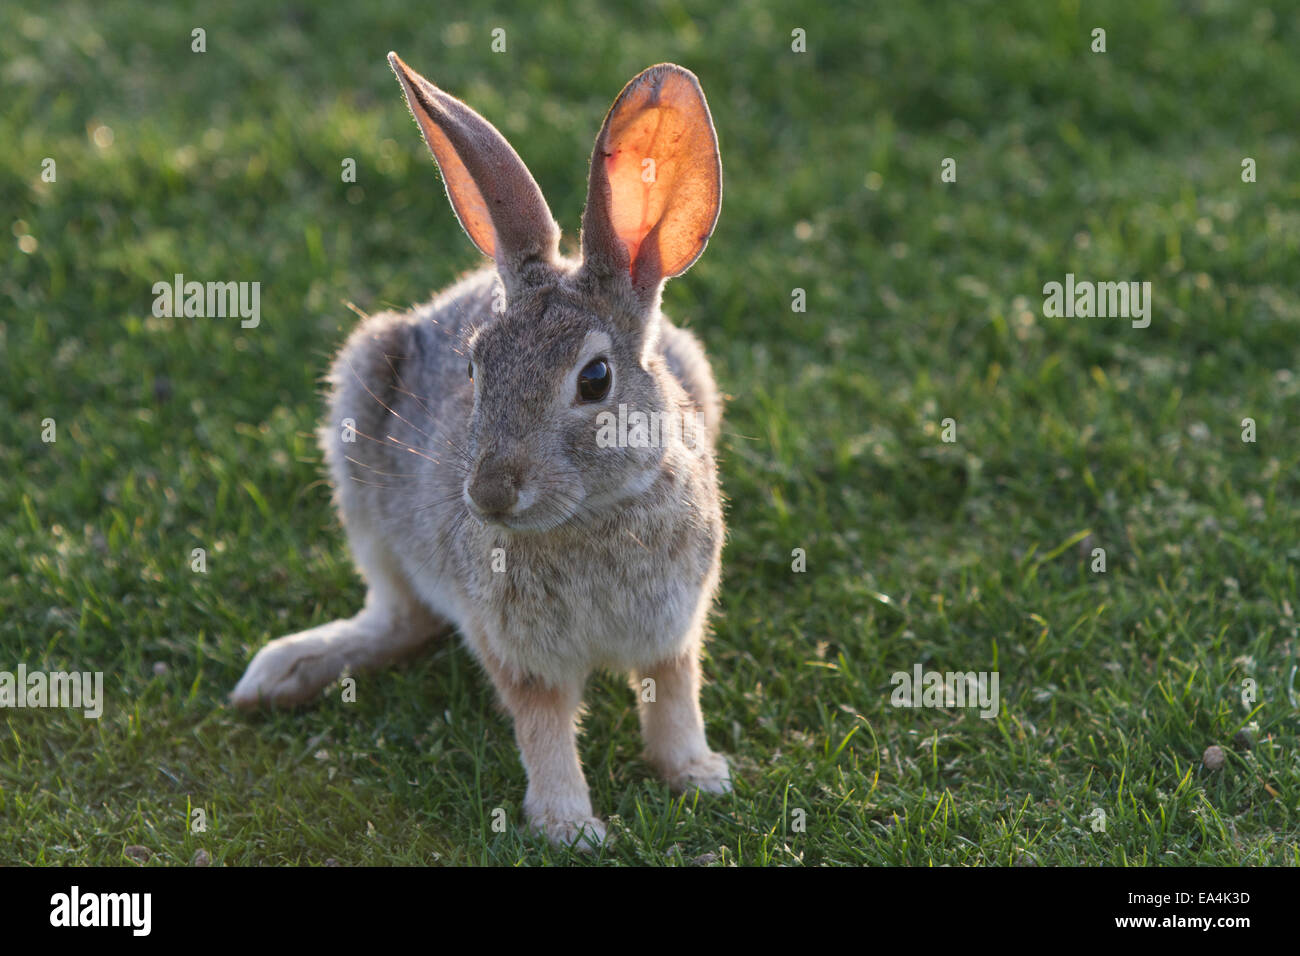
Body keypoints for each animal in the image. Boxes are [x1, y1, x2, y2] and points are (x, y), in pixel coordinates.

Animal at [231, 52, 730, 849]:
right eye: (473, 368)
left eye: (595, 379)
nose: (491, 493)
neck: (588, 519)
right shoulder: (516, 648)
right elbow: (543, 724)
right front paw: (570, 826)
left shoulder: (674, 625)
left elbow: (674, 696)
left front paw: (697, 776)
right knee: (400, 614)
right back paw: (286, 672)